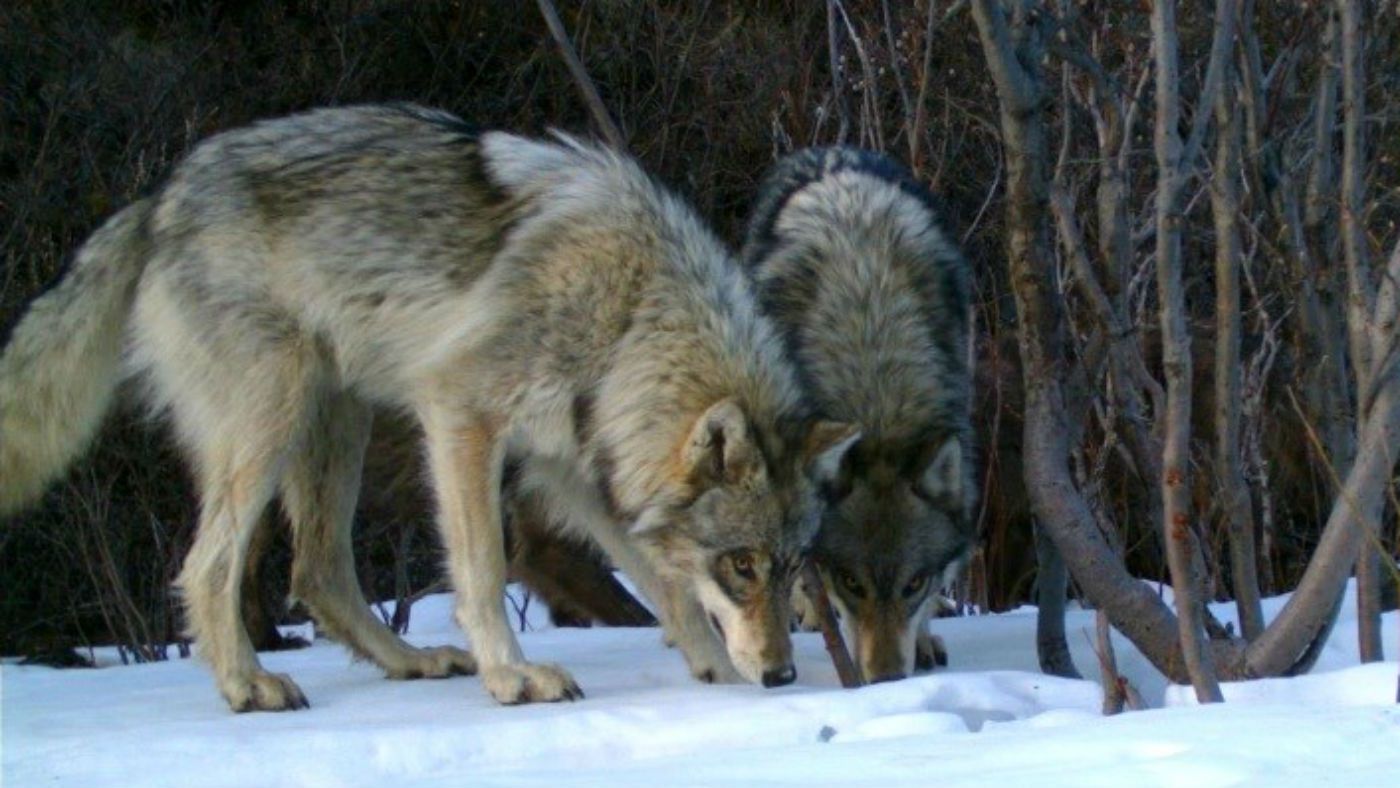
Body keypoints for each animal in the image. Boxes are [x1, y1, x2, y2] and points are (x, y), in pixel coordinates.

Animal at [0, 104, 857, 710]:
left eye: (789, 569)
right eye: (741, 565)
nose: (782, 677)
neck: (630, 316)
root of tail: (159, 199)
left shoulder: (574, 466)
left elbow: (663, 583)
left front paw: (717, 674)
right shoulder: (463, 418)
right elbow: (481, 568)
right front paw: (513, 679)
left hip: (336, 424)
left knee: (317, 571)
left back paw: (409, 663)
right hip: (276, 414)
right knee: (208, 565)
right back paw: (248, 686)